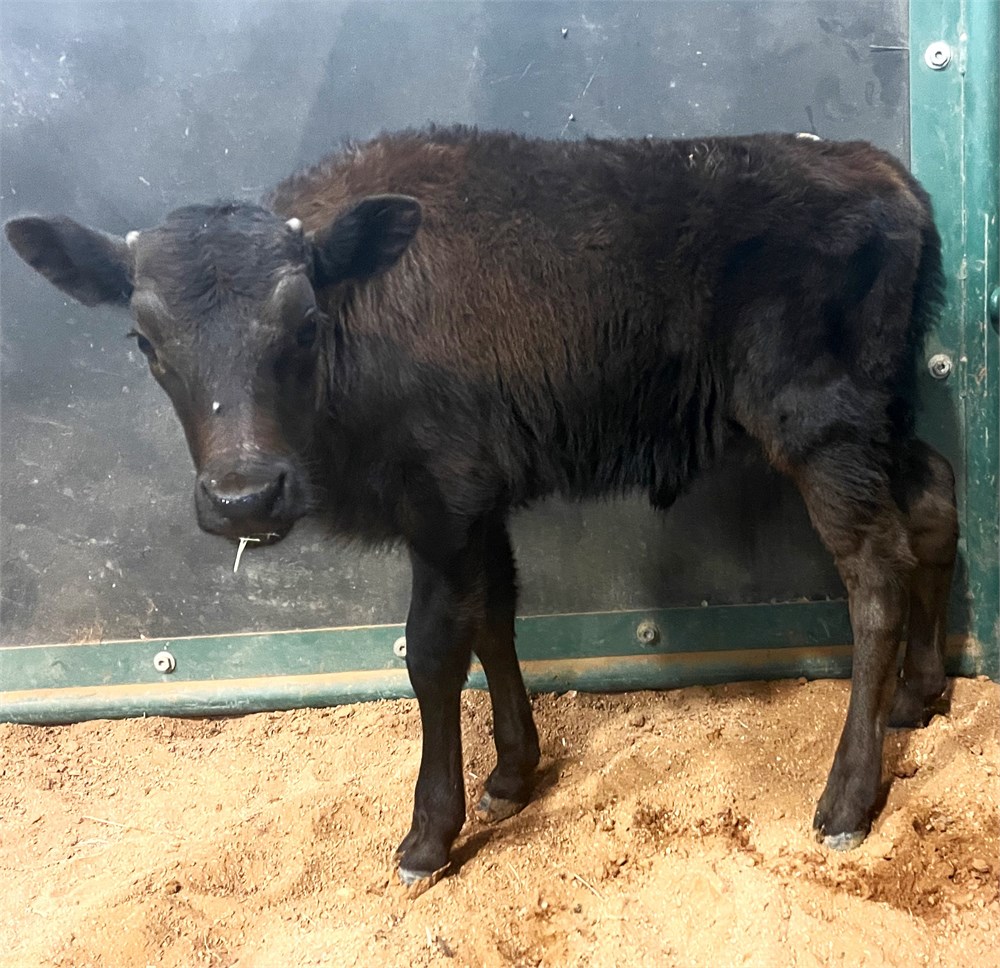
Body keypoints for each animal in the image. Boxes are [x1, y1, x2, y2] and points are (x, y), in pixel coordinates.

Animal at [4, 127, 957, 894]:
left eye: (304, 322)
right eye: (145, 339)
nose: (244, 496)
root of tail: (885, 174)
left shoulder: (442, 504)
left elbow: (434, 651)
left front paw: (429, 836)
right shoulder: (476, 508)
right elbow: (496, 616)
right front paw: (511, 777)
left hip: (821, 425)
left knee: (874, 571)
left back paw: (848, 797)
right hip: (883, 414)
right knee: (935, 498)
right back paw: (918, 695)